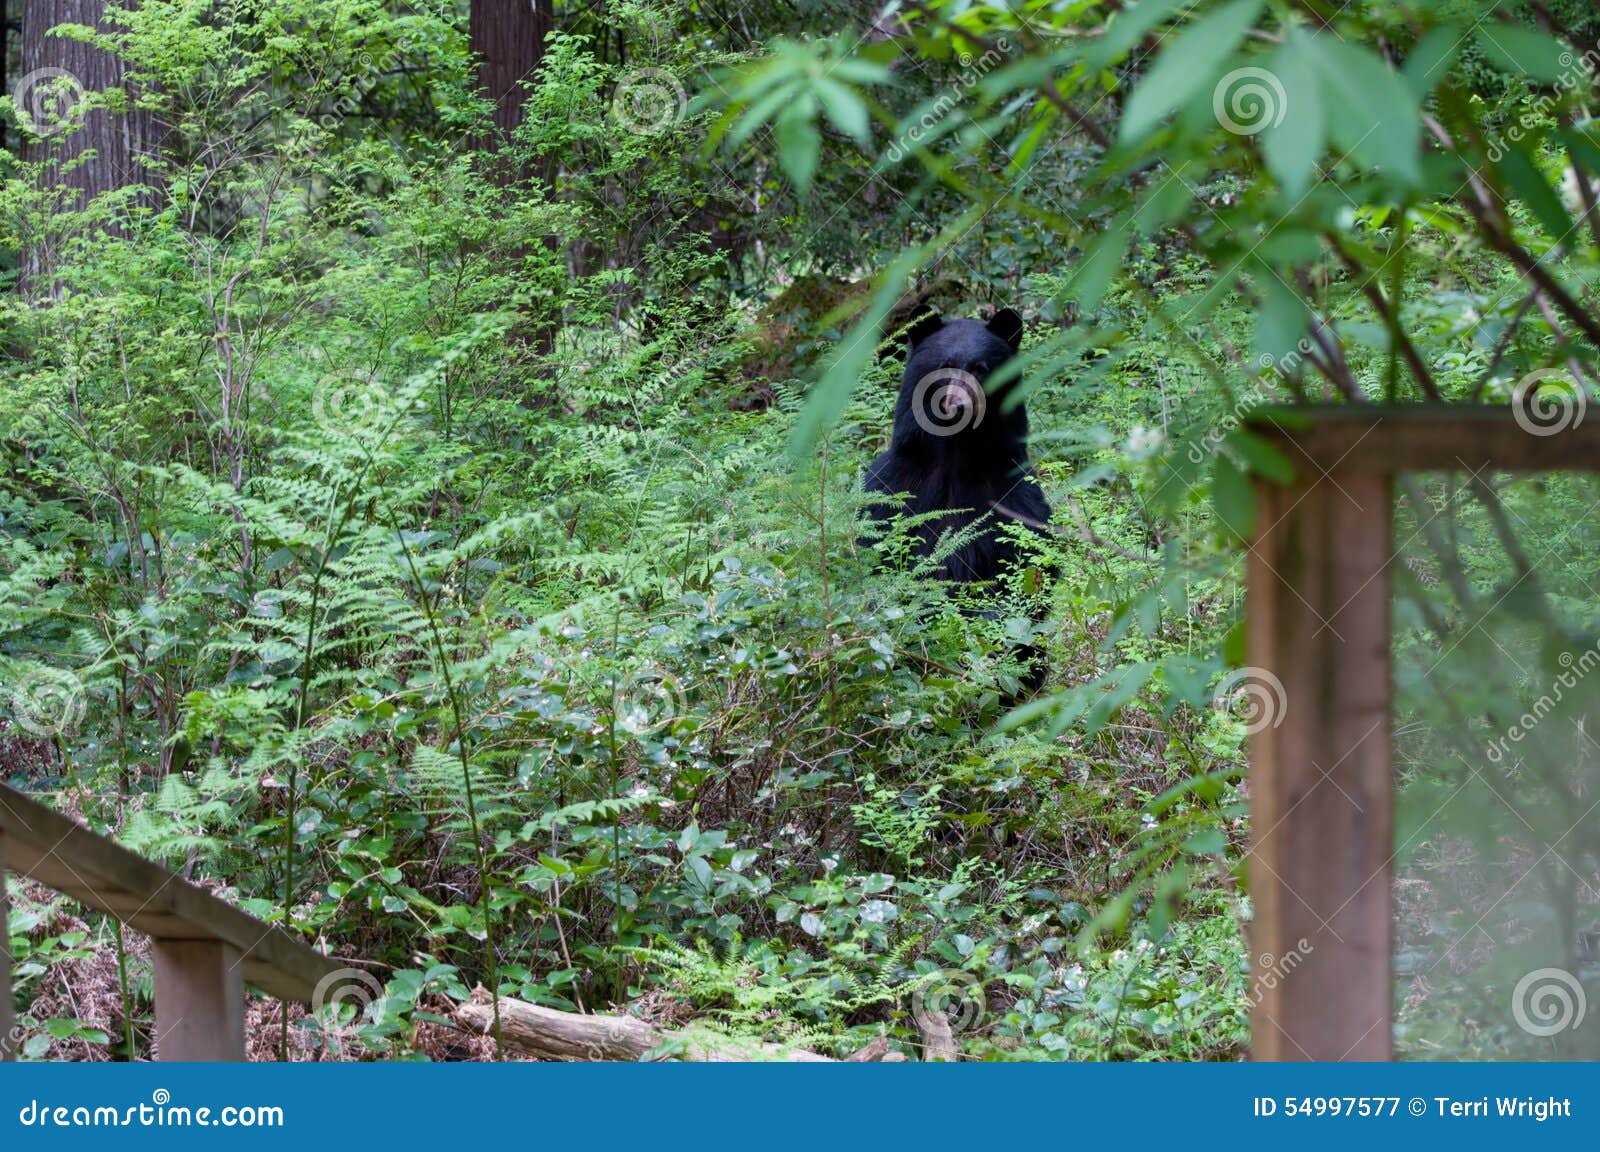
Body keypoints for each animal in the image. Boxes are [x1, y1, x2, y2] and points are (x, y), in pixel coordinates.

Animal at [863, 307, 1052, 585]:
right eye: (946, 366)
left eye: (981, 368)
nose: (960, 406)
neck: (958, 449)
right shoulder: (896, 487)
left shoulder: (1012, 494)